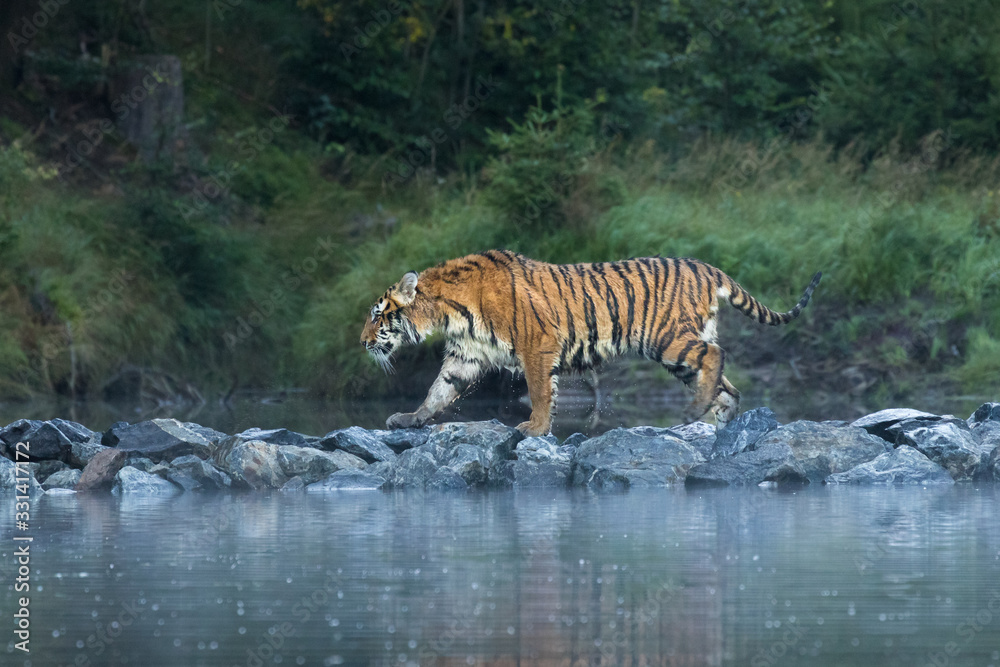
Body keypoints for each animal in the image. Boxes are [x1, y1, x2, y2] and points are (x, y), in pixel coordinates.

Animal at [360, 250, 821, 437]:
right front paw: (409, 418)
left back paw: (695, 413)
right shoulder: (465, 356)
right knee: (727, 381)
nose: (362, 342)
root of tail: (707, 267)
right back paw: (716, 420)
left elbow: (540, 392)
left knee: (717, 356)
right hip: (680, 350)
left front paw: (534, 428)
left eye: (377, 314)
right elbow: (438, 391)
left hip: (668, 339)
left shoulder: (537, 344)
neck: (448, 312)